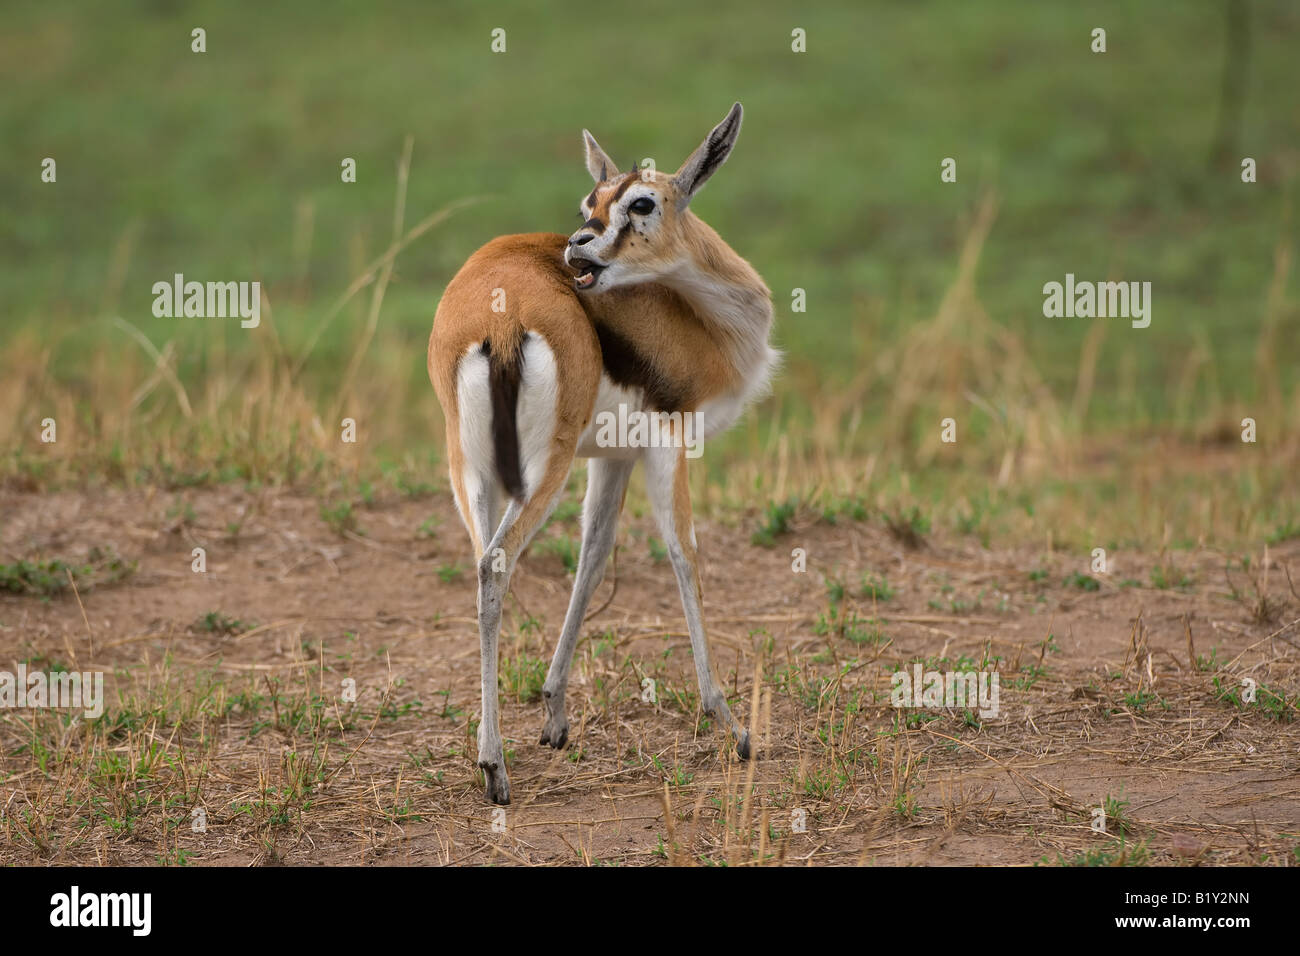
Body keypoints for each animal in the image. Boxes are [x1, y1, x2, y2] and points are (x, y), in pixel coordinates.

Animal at [427, 103, 777, 804]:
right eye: (591, 202)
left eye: (638, 201)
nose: (577, 244)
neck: (706, 325)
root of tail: (497, 316)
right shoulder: (667, 442)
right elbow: (684, 555)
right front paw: (730, 726)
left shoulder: (612, 458)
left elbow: (592, 556)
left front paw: (555, 715)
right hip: (547, 469)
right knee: (497, 564)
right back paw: (495, 769)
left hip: (471, 471)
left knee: (481, 563)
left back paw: (490, 755)